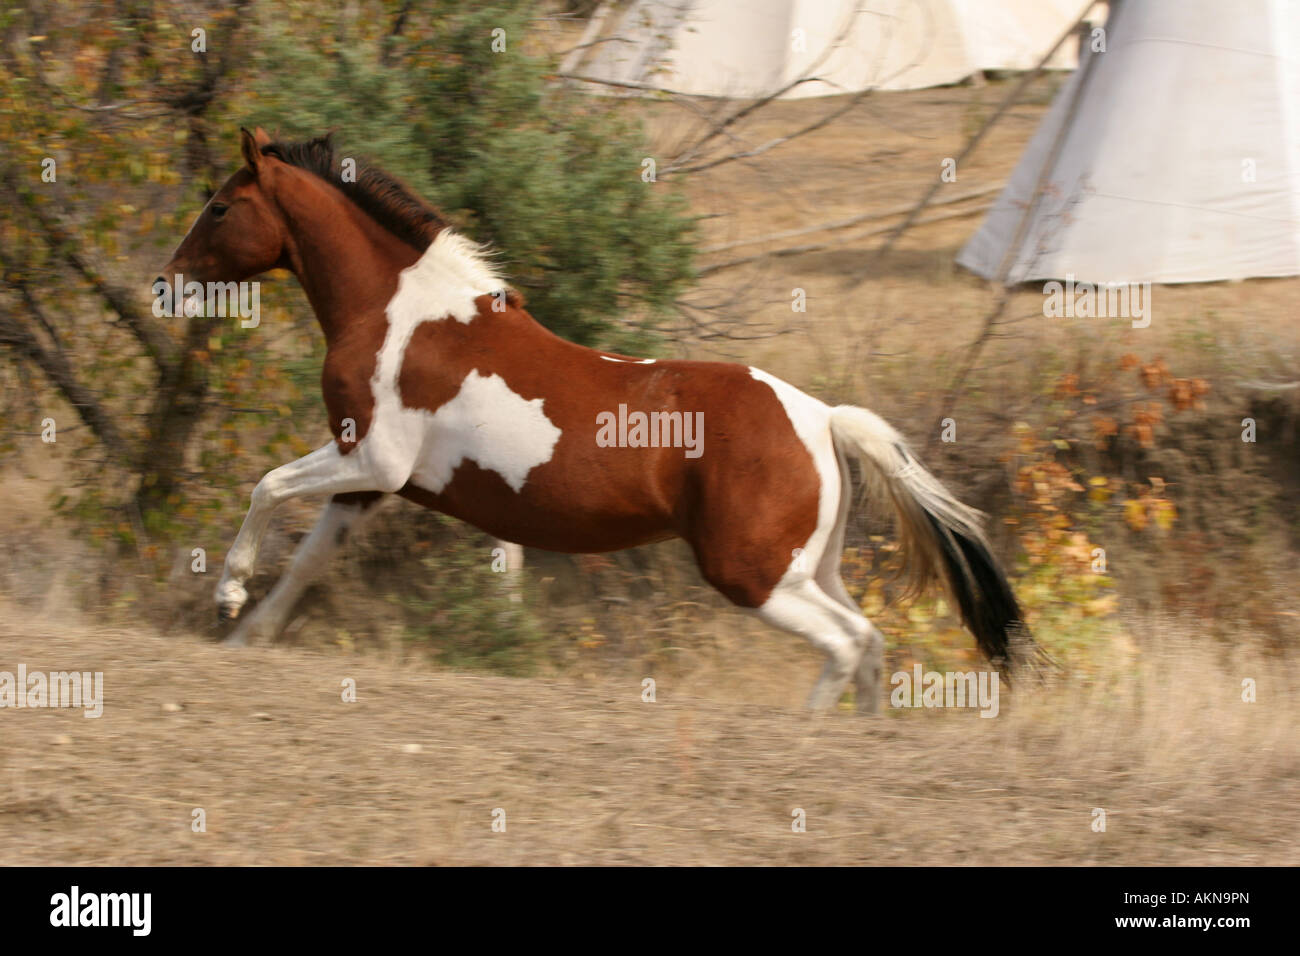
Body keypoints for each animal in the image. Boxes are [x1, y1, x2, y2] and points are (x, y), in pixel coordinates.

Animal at [159, 127, 1034, 713]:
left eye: (221, 206)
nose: (166, 284)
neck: (402, 315)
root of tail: (821, 418)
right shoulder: (369, 481)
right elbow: (309, 558)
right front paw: (245, 638)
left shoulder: (374, 459)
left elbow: (267, 486)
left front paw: (227, 597)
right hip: (808, 569)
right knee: (871, 642)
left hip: (751, 574)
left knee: (847, 643)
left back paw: (807, 735)